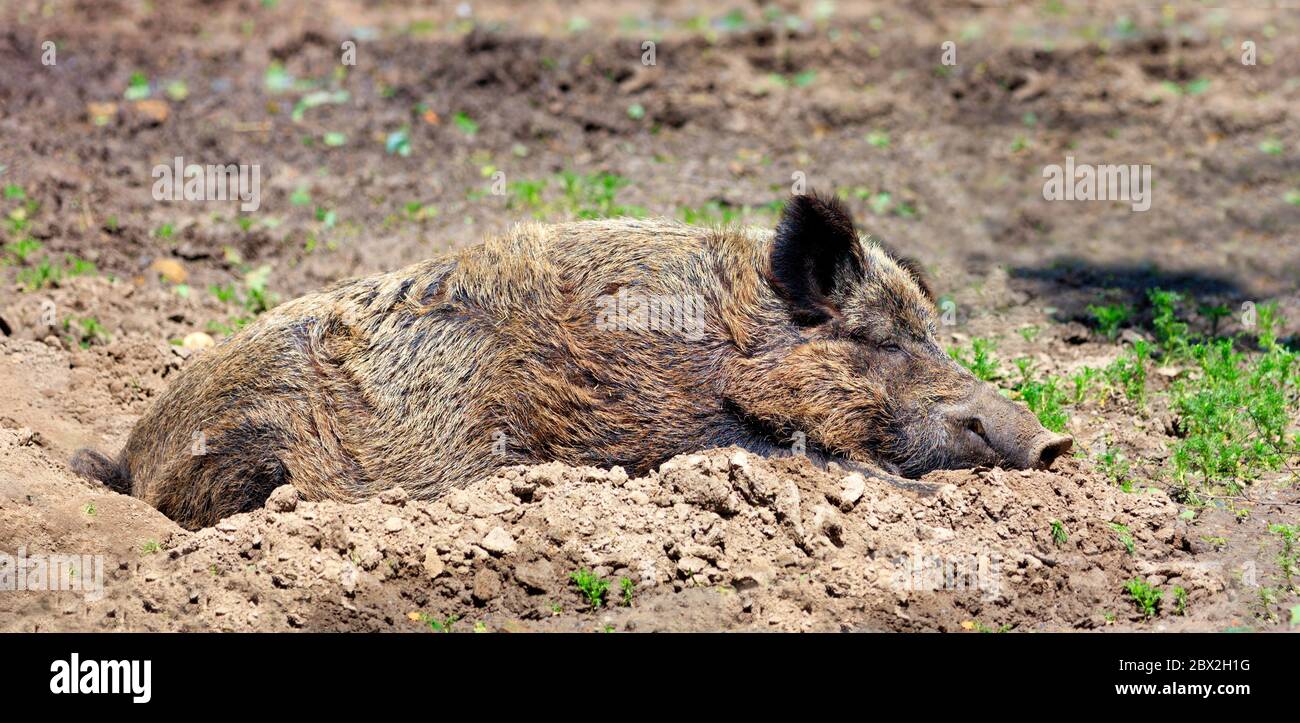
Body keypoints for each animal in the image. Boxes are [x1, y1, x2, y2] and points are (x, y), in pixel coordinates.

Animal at [72, 193, 1071, 529]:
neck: (723, 347)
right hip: (251, 450)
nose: (1053, 442)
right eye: (878, 338)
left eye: (932, 330)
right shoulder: (650, 423)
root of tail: (127, 455)